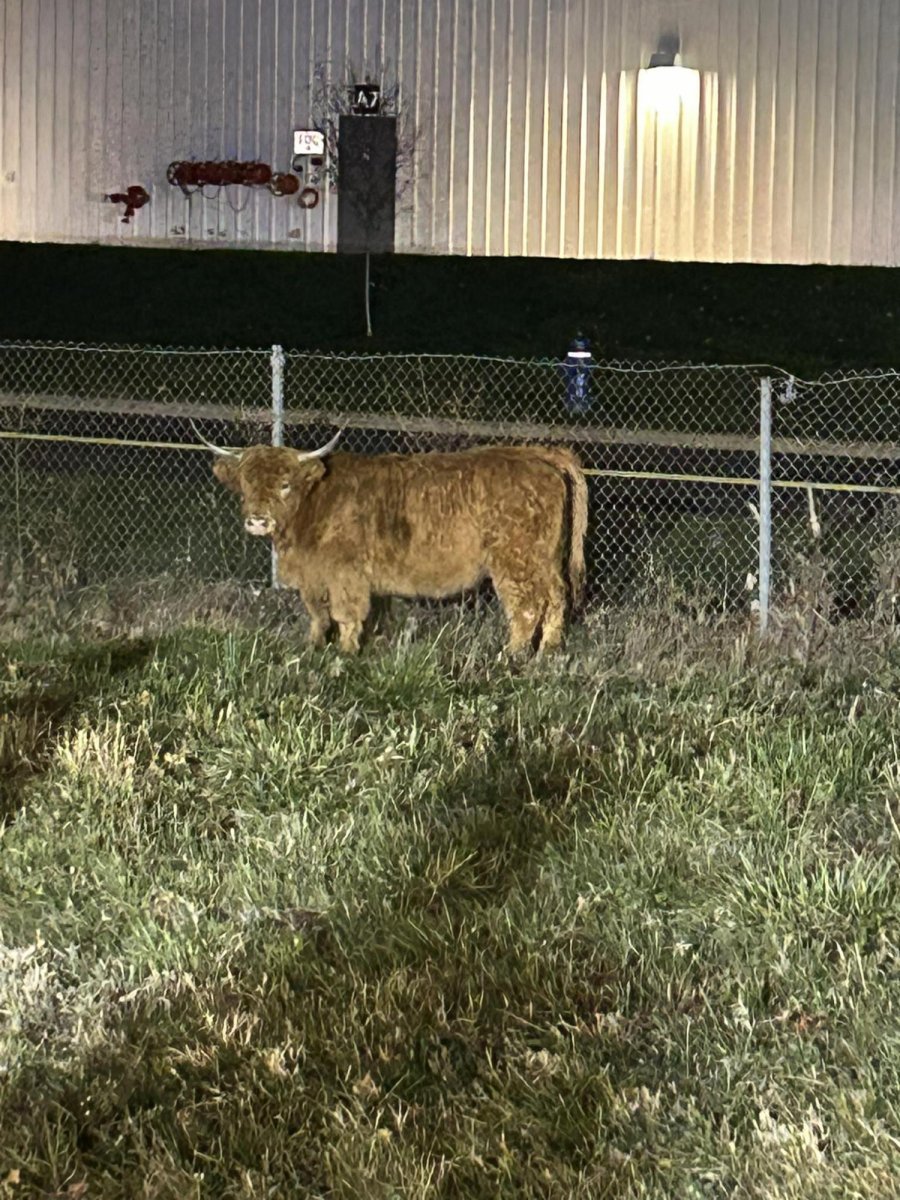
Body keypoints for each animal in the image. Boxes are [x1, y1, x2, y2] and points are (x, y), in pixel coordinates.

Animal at [198, 427, 588, 656]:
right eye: (246, 483)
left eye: (284, 484)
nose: (257, 520)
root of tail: (535, 454)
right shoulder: (315, 576)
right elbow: (318, 614)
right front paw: (313, 646)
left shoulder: (345, 573)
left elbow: (345, 614)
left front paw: (345, 653)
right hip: (545, 558)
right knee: (557, 596)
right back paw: (549, 650)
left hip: (515, 559)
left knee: (527, 605)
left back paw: (511, 655)